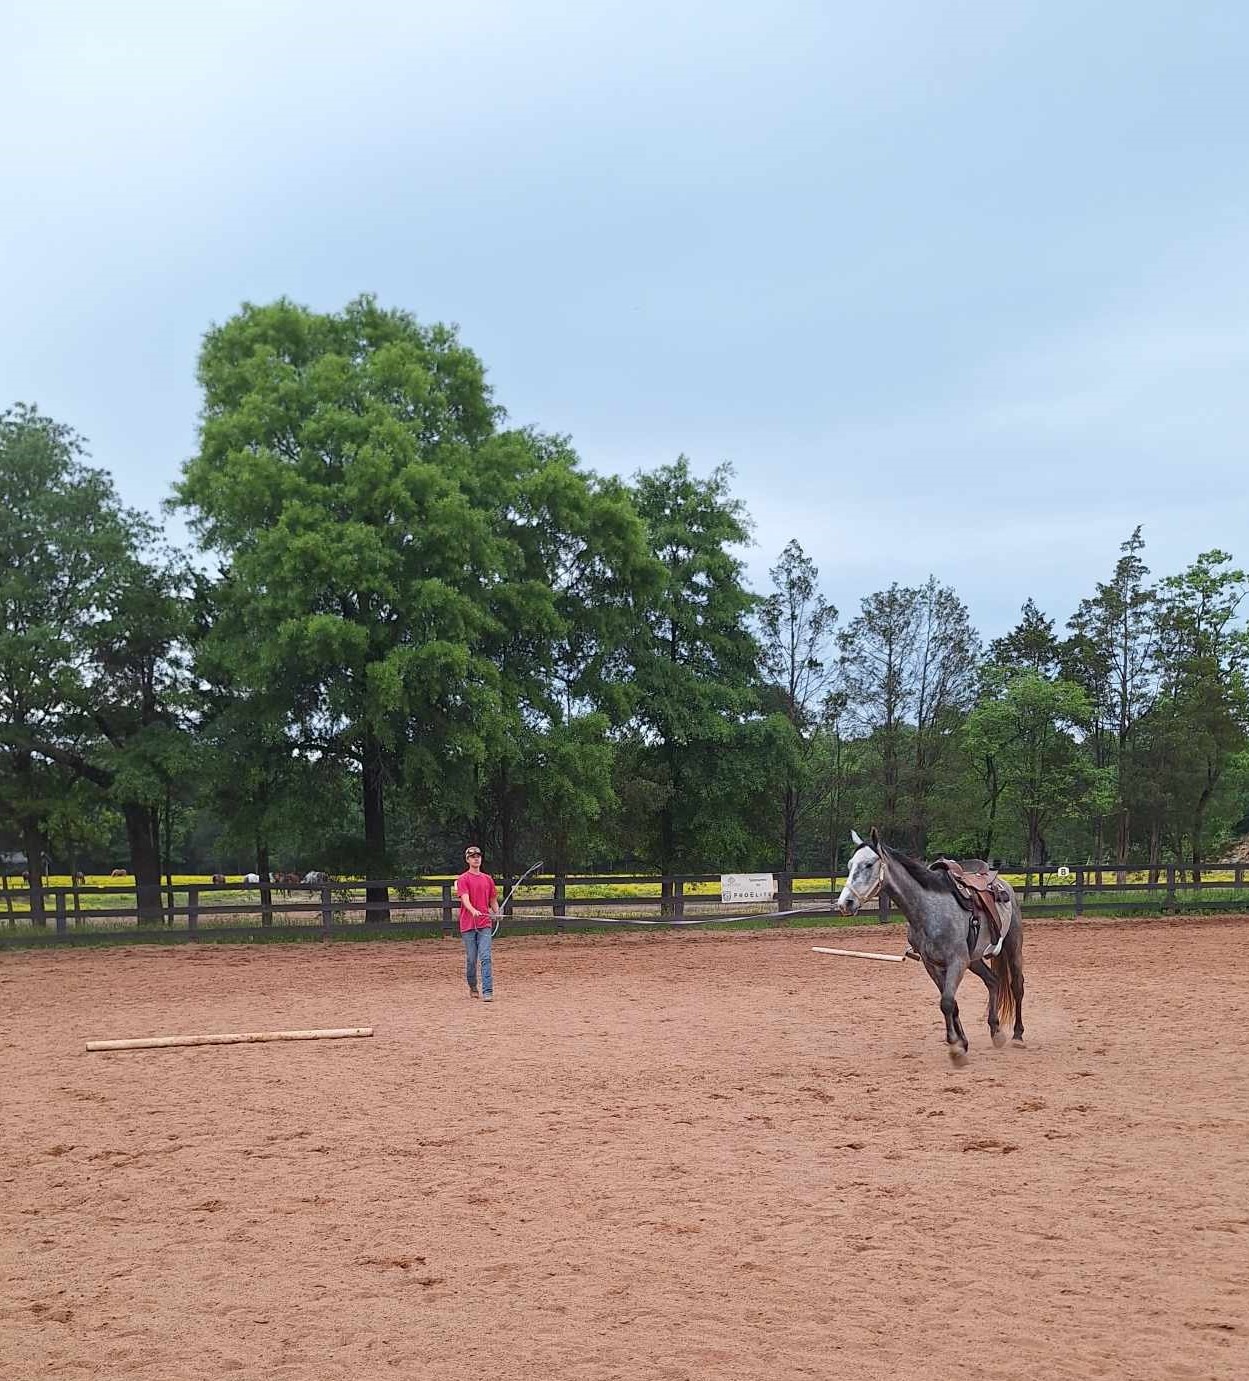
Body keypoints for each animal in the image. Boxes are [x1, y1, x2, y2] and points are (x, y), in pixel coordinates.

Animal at [837, 828, 1025, 1061]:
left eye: (869, 864)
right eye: (850, 864)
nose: (845, 903)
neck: (929, 910)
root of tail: (1002, 884)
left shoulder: (956, 962)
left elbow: (947, 1002)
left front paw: (955, 1048)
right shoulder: (932, 965)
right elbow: (951, 1004)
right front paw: (961, 1042)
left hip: (1012, 946)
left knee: (1017, 986)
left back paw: (1018, 1035)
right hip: (974, 959)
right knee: (993, 981)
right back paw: (995, 1031)